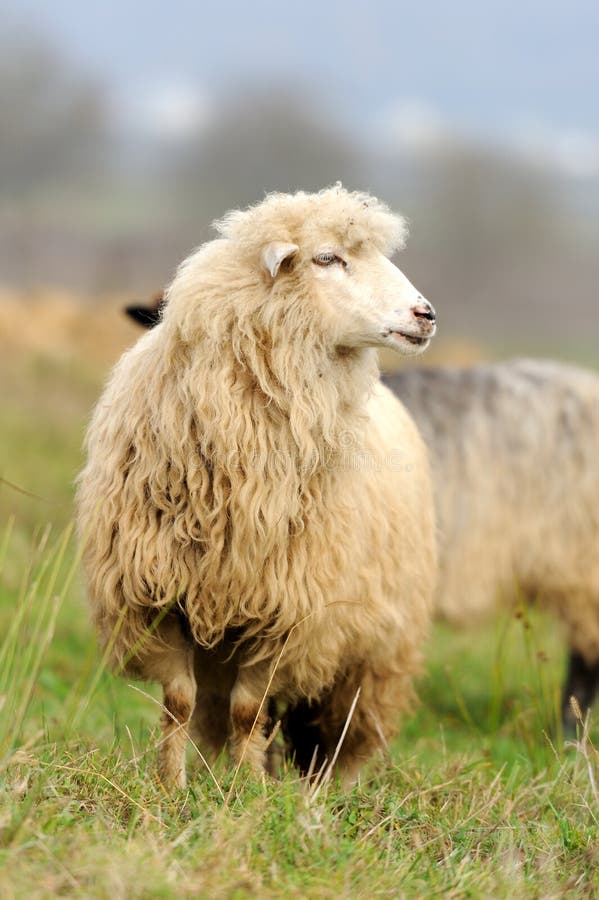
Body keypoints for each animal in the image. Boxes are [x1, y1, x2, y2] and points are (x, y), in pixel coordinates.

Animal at [77, 186, 438, 788]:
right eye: (326, 258)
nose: (425, 315)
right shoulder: (159, 595)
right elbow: (179, 702)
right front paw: (171, 788)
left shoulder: (288, 612)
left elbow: (249, 711)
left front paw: (246, 794)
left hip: (374, 648)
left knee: (341, 730)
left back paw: (324, 789)